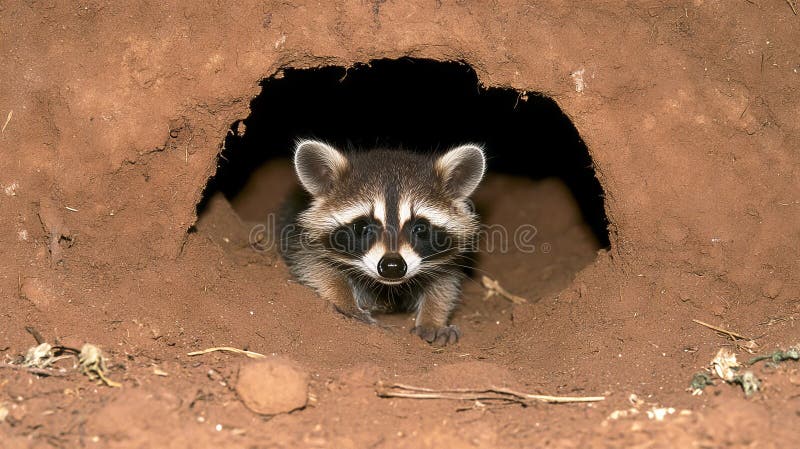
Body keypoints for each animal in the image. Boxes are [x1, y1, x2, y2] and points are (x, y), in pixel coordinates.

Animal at [278, 139, 486, 346]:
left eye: (420, 229)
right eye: (362, 227)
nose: (392, 266)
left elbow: (445, 285)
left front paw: (433, 318)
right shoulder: (301, 242)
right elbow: (317, 269)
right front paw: (346, 303)